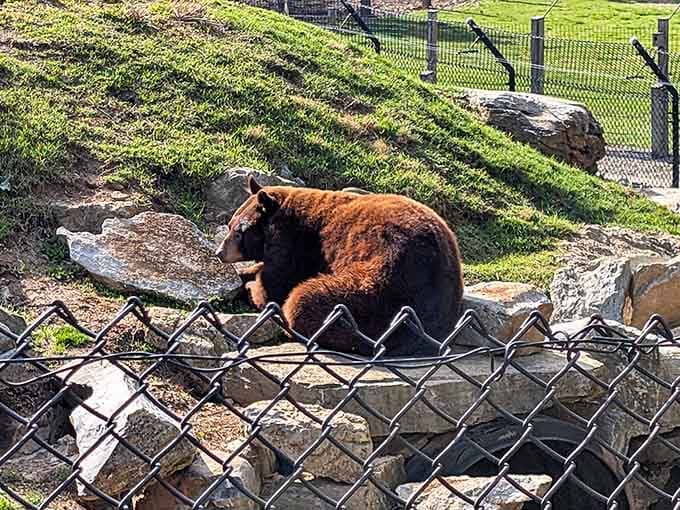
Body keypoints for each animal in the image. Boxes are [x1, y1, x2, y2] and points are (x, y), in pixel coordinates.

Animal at [215, 176, 464, 356]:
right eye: (230, 224)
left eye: (239, 231)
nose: (219, 252)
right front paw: (244, 273)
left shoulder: (297, 247)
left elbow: (275, 284)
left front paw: (251, 288)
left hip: (381, 292)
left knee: (306, 300)